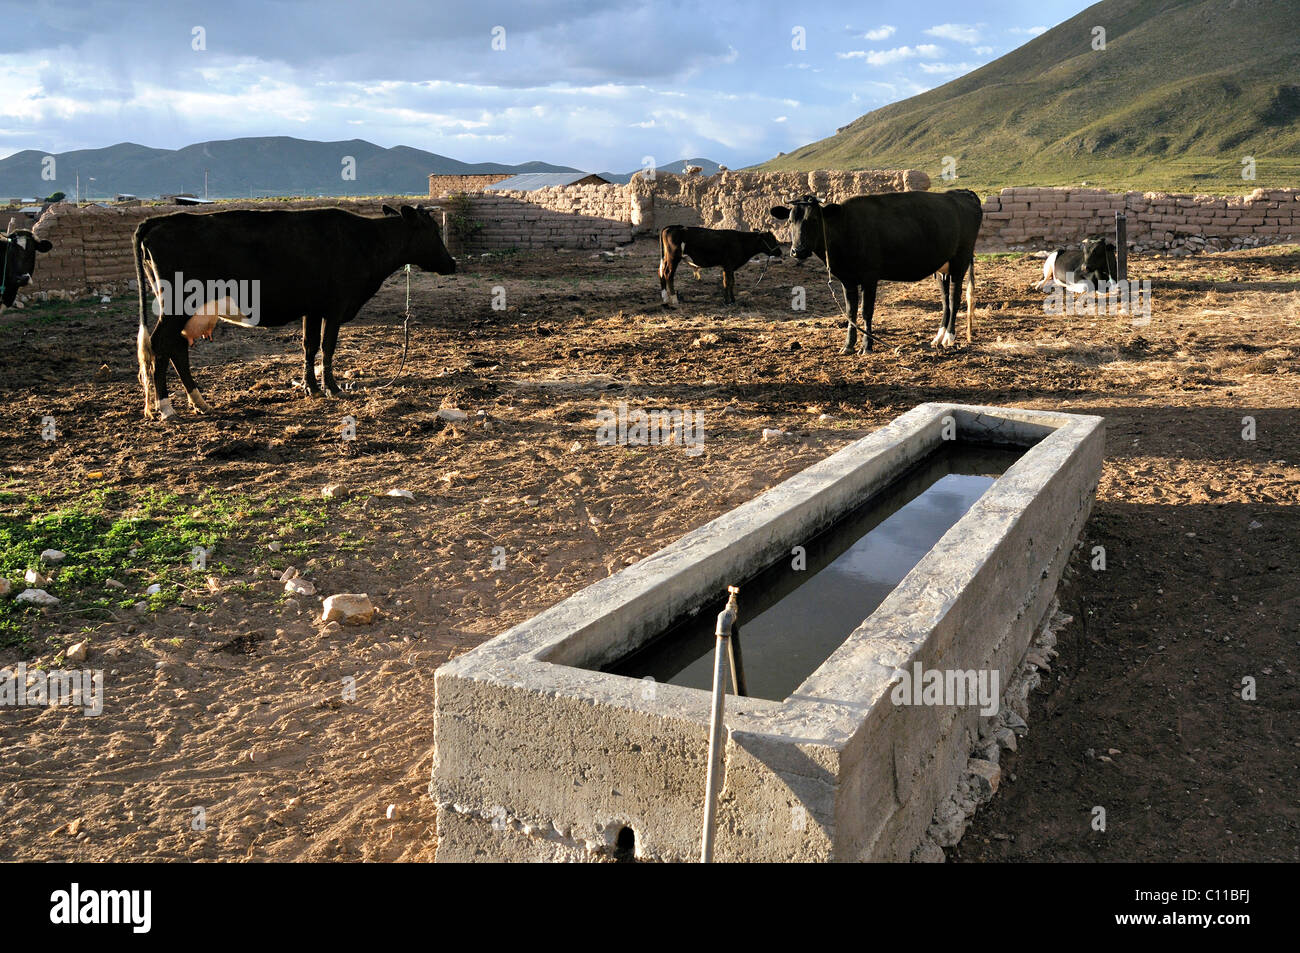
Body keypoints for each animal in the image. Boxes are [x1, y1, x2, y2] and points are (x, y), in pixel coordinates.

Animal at [134, 204, 455, 420]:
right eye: (432, 230)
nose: (452, 263)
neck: (365, 241)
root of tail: (158, 221)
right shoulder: (335, 307)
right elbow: (327, 346)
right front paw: (332, 388)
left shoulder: (311, 308)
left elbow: (309, 346)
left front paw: (311, 388)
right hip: (176, 307)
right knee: (161, 345)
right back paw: (166, 408)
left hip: (185, 311)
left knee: (176, 348)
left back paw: (199, 402)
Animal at [770, 190, 983, 352]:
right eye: (790, 220)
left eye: (814, 219)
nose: (797, 251)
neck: (845, 228)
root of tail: (961, 193)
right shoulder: (847, 279)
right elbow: (850, 312)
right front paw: (848, 346)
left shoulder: (869, 277)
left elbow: (866, 312)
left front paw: (867, 346)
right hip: (941, 268)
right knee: (945, 301)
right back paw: (938, 337)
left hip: (960, 261)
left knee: (954, 299)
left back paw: (949, 337)